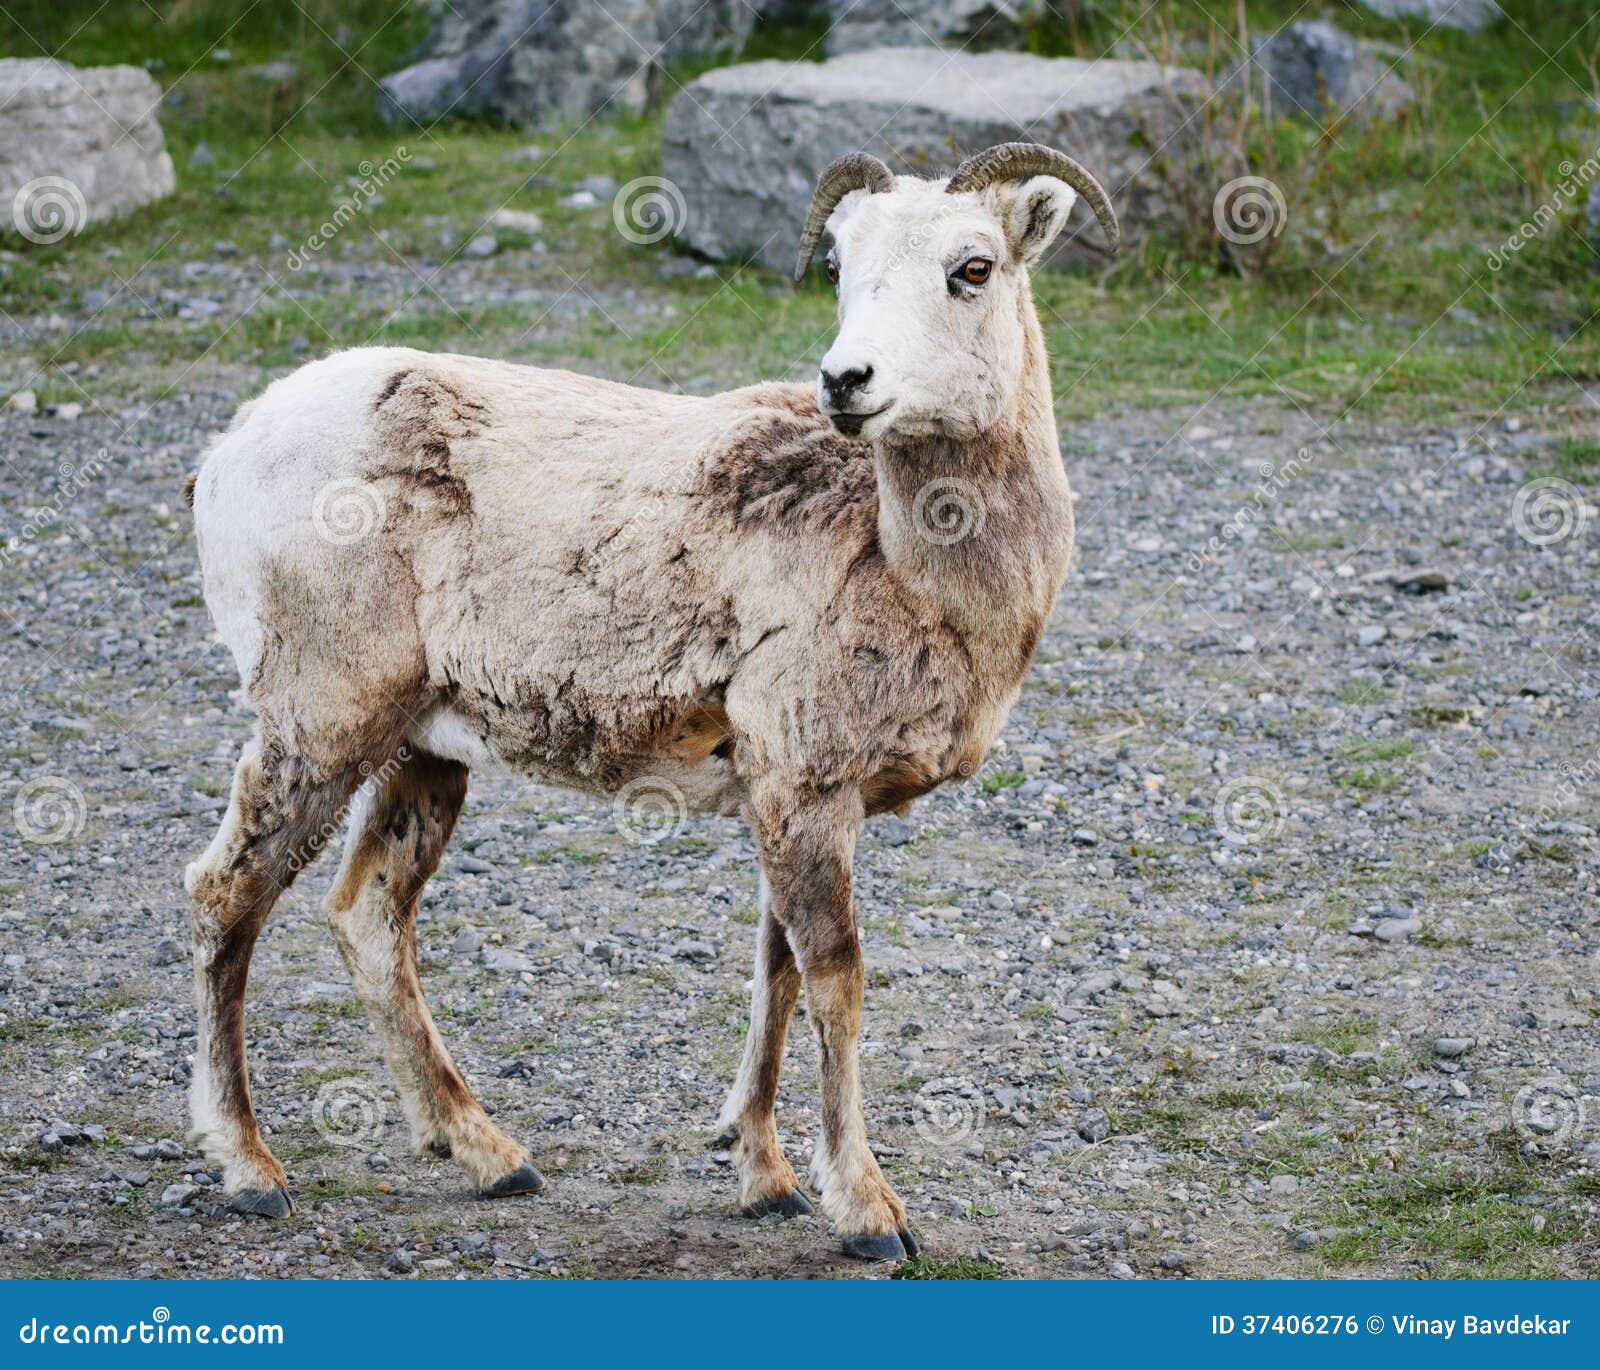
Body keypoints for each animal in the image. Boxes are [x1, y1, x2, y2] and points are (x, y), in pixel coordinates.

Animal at [183, 143, 1119, 1259]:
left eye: (972, 268)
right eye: (837, 263)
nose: (846, 380)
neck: (901, 561)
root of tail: (233, 449)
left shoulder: (785, 796)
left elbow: (776, 973)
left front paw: (762, 1177)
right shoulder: (806, 788)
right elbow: (835, 981)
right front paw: (865, 1211)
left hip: (422, 747)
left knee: (368, 913)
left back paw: (490, 1154)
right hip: (318, 718)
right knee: (228, 894)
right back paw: (250, 1168)